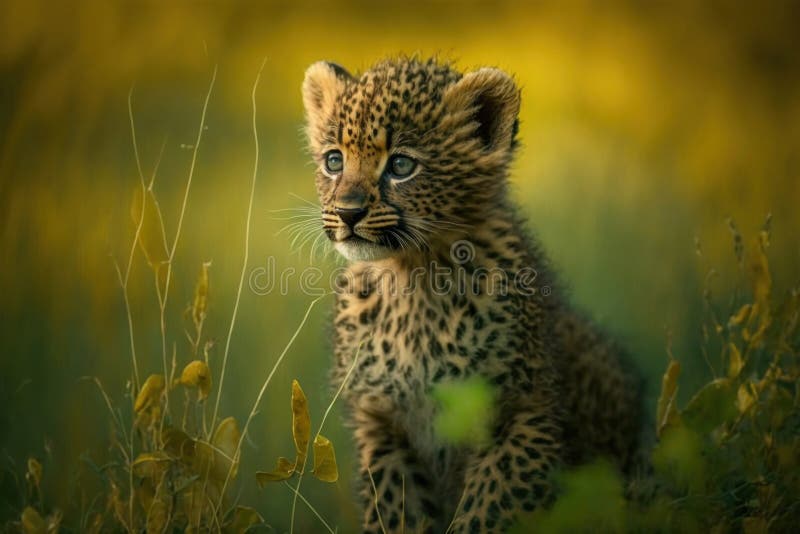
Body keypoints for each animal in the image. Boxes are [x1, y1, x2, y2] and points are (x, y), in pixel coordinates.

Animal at [301, 56, 644, 533]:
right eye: (334, 160)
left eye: (401, 166)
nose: (348, 212)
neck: (411, 274)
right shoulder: (381, 425)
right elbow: (399, 512)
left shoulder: (525, 415)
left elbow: (486, 511)